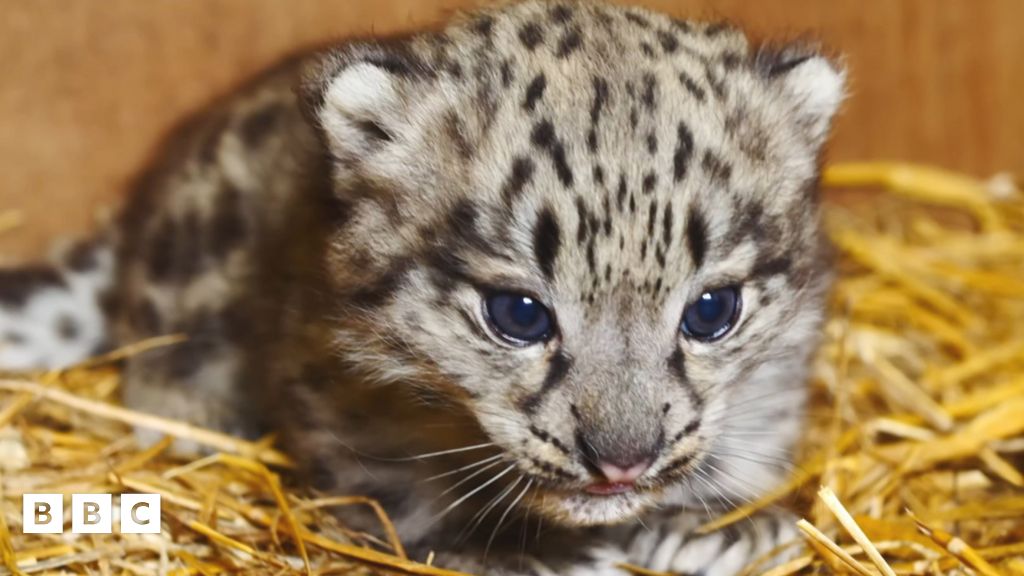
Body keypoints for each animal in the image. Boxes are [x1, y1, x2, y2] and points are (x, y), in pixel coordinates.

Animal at [0, 1, 845, 573]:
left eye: (712, 310)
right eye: (518, 314)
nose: (622, 462)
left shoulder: (778, 375)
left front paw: (720, 527)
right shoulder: (337, 403)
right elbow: (393, 493)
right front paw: (510, 551)